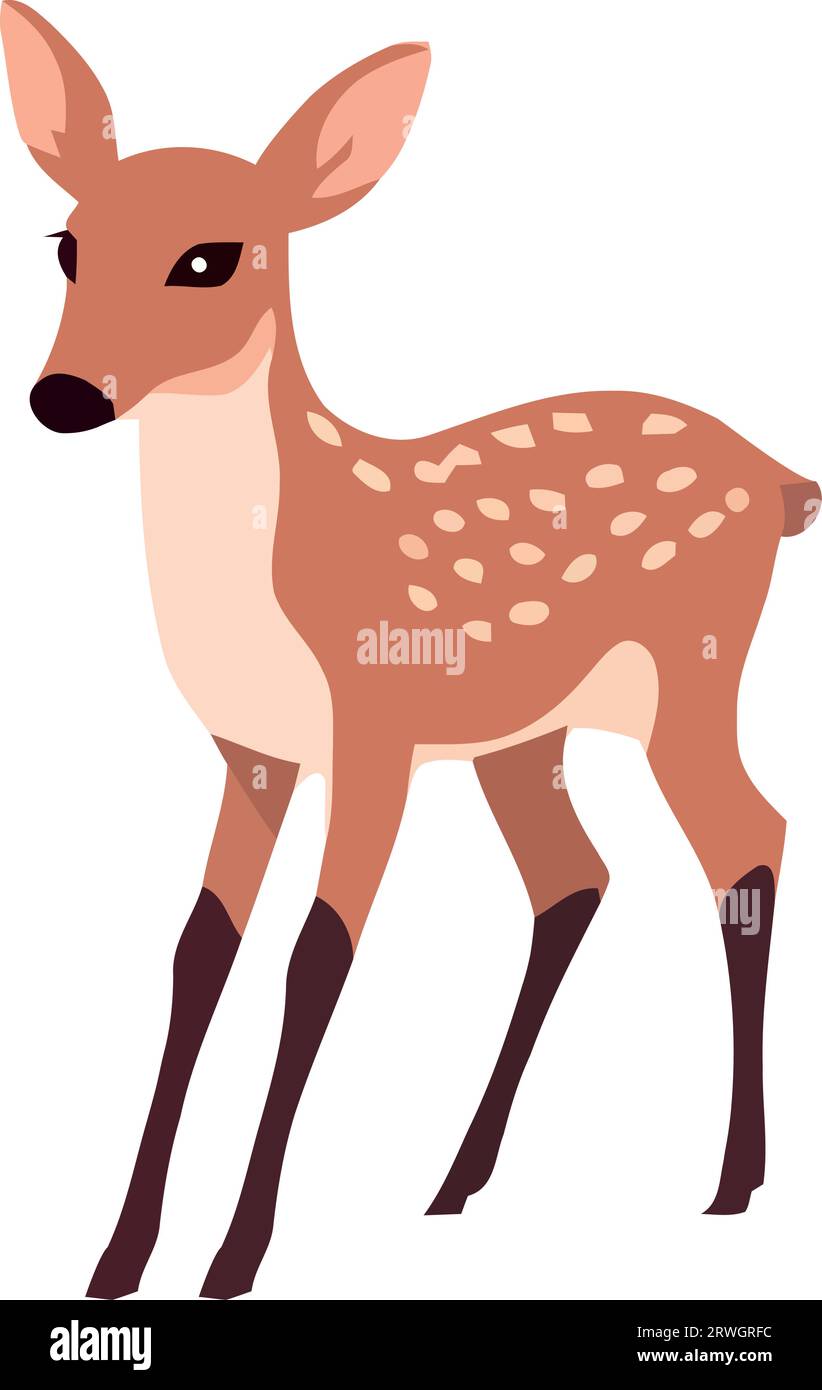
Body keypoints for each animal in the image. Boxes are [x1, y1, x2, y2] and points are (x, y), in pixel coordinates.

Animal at [2, 1, 819, 1302]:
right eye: (66, 245)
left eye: (211, 256)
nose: (66, 396)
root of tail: (787, 482)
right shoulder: (251, 752)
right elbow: (198, 952)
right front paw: (116, 1258)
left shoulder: (372, 731)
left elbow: (315, 957)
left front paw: (233, 1259)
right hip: (525, 732)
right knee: (575, 876)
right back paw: (454, 1180)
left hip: (692, 669)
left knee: (752, 836)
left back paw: (734, 1181)